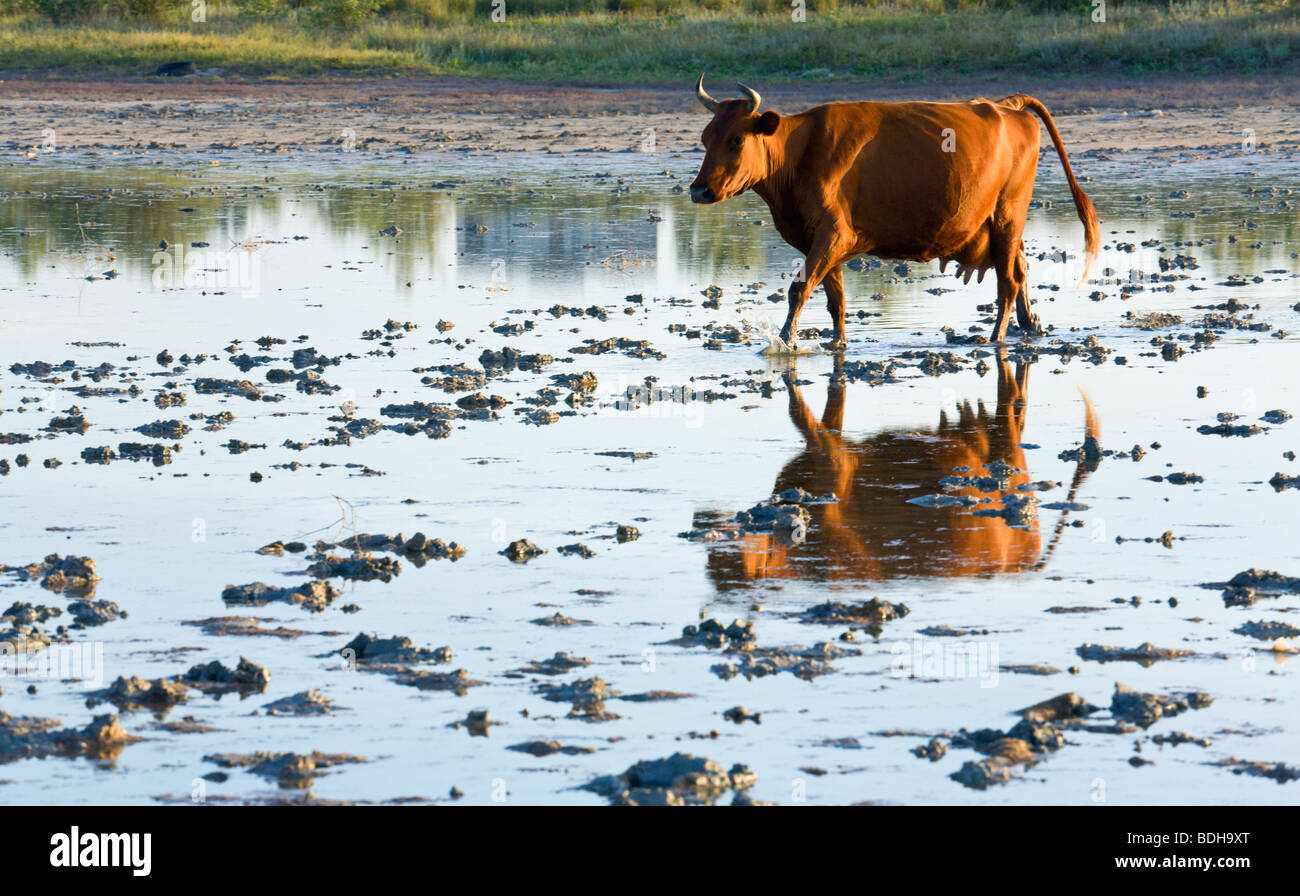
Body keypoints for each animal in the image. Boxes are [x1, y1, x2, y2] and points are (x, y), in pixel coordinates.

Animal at [688, 77, 1099, 348]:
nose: (698, 189)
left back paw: (995, 336)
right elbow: (836, 300)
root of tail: (1005, 106)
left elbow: (799, 289)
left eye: (736, 139)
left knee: (1009, 280)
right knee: (1020, 266)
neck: (801, 151)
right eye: (705, 138)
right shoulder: (823, 242)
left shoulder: (834, 234)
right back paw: (1030, 324)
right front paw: (838, 343)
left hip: (1008, 213)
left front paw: (785, 341)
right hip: (1001, 223)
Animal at [695, 352, 1099, 590]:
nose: (701, 519)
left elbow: (800, 412)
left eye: (735, 563)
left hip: (1008, 453)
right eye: (712, 565)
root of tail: (1021, 567)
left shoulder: (832, 457)